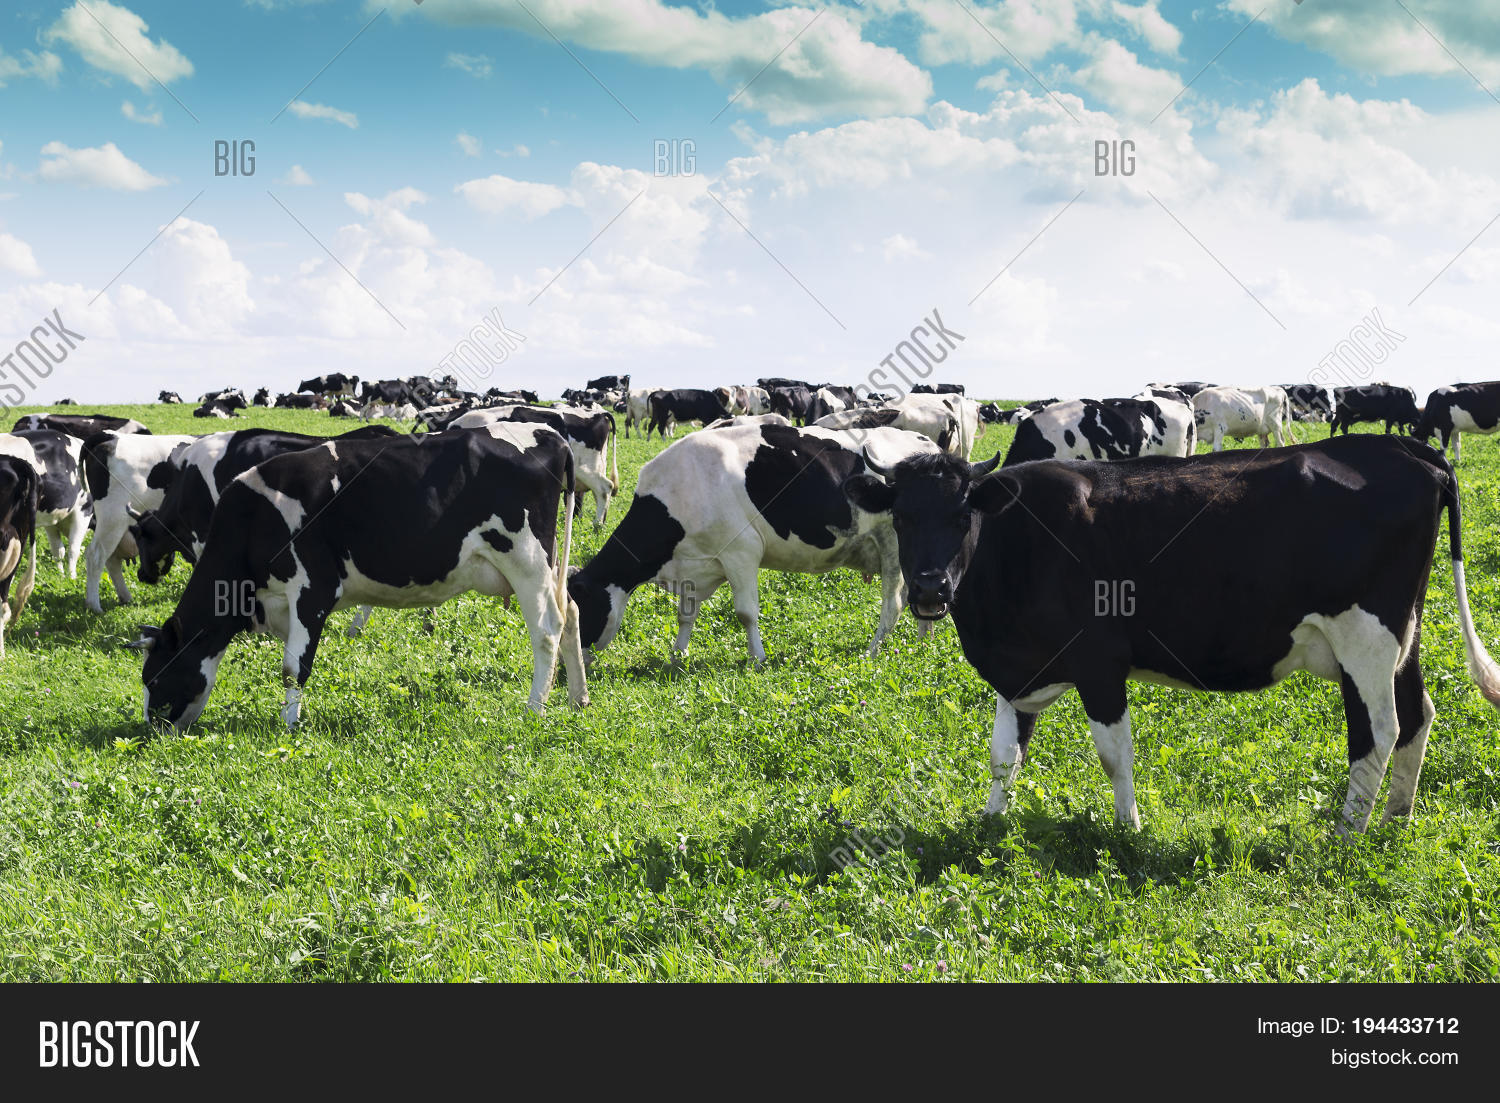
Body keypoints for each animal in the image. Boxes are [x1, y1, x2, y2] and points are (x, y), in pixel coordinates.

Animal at [0, 430, 91, 578]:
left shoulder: (51, 518)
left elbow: (58, 550)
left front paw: (60, 576)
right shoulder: (83, 510)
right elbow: (73, 549)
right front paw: (72, 577)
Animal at [81, 431, 202, 612]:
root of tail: (111, 435)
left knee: (111, 559)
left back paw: (124, 597)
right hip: (112, 518)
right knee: (96, 556)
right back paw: (94, 606)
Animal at [129, 427, 588, 731]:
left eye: (154, 676)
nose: (150, 730)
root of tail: (548, 434)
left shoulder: (311, 588)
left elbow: (293, 668)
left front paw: (289, 726)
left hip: (526, 558)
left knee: (547, 630)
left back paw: (534, 708)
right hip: (548, 567)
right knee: (572, 613)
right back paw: (577, 698)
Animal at [567, 422, 942, 667]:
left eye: (579, 611)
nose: (568, 668)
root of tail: (929, 447)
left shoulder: (741, 553)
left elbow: (746, 613)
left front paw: (757, 658)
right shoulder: (693, 564)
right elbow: (686, 614)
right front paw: (678, 655)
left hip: (892, 544)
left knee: (893, 603)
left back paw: (872, 651)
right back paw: (923, 643)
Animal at [842, 434, 1500, 835]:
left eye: (961, 516)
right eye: (901, 516)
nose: (928, 589)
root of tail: (1401, 446)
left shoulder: (1099, 663)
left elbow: (1113, 754)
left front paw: (1128, 829)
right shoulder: (1018, 670)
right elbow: (1005, 754)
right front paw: (990, 825)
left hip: (1365, 636)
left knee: (1378, 729)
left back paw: (1346, 833)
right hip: (1403, 634)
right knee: (1417, 713)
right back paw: (1395, 819)